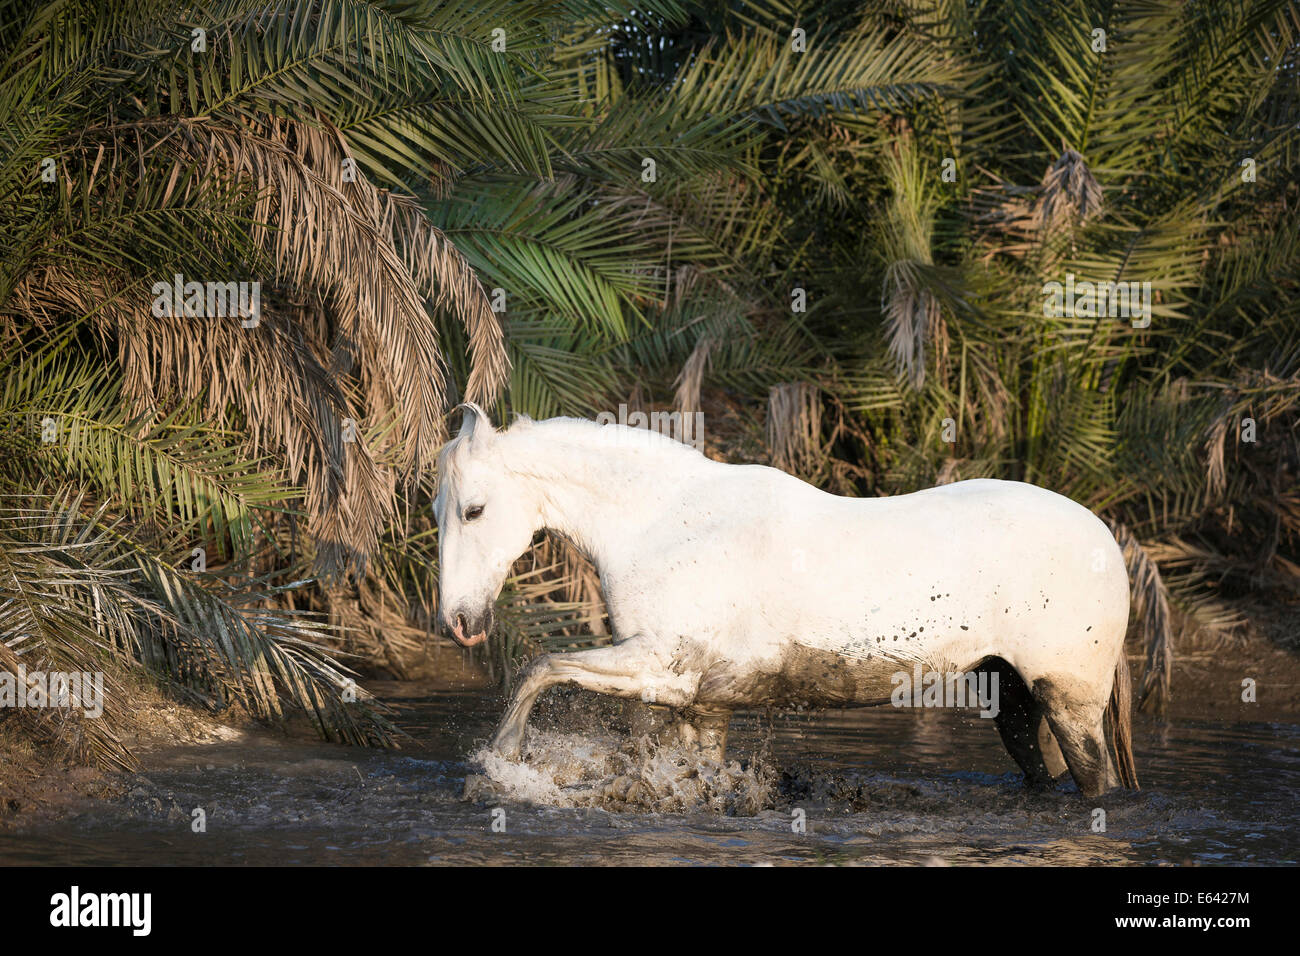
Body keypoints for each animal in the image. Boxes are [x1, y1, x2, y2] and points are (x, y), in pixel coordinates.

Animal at [434, 403, 1139, 797]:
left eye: (475, 510)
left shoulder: (659, 667)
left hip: (1070, 702)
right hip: (1013, 700)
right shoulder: (700, 703)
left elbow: (539, 669)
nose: (459, 622)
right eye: (439, 509)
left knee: (1095, 785)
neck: (664, 523)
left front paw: (501, 760)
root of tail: (1106, 540)